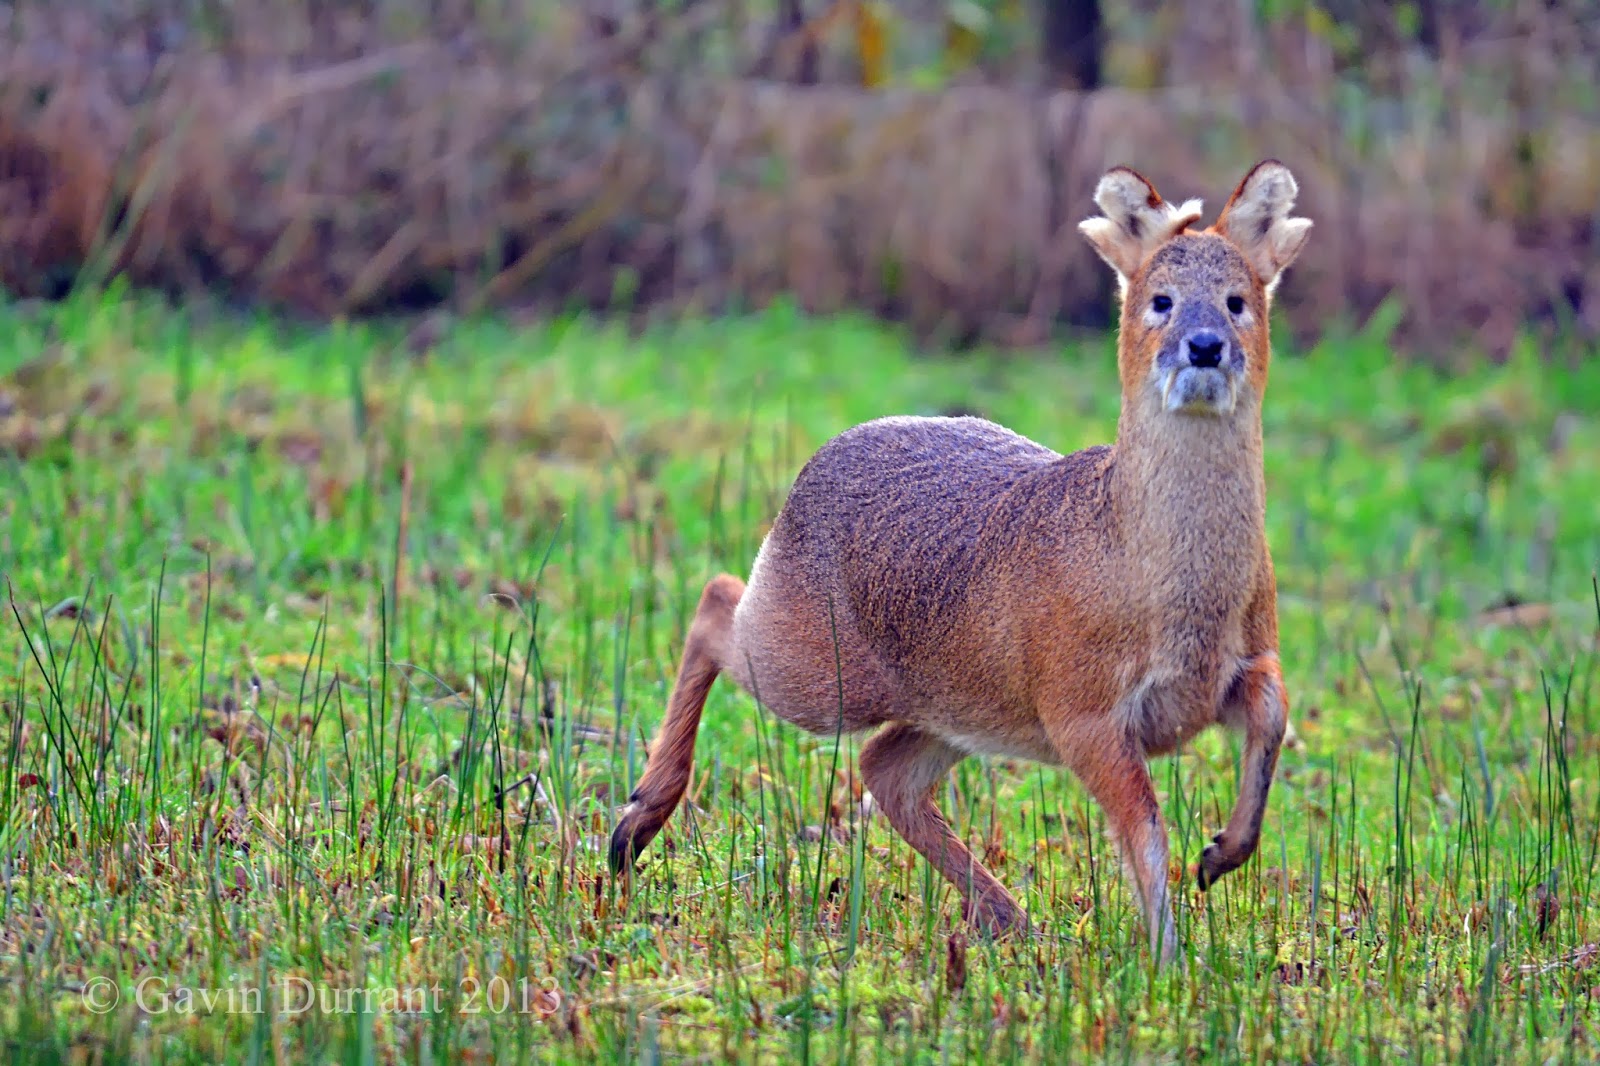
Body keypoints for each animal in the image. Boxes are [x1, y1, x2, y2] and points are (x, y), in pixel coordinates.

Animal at [609, 160, 1311, 966]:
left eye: (1238, 301)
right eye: (1160, 300)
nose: (1203, 346)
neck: (1160, 581)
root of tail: (814, 466)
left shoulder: (1239, 664)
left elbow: (1272, 718)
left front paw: (1222, 854)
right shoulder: (1080, 708)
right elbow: (1146, 832)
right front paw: (1169, 965)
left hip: (954, 708)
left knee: (884, 771)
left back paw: (1013, 922)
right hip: (816, 671)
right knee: (716, 600)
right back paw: (634, 824)